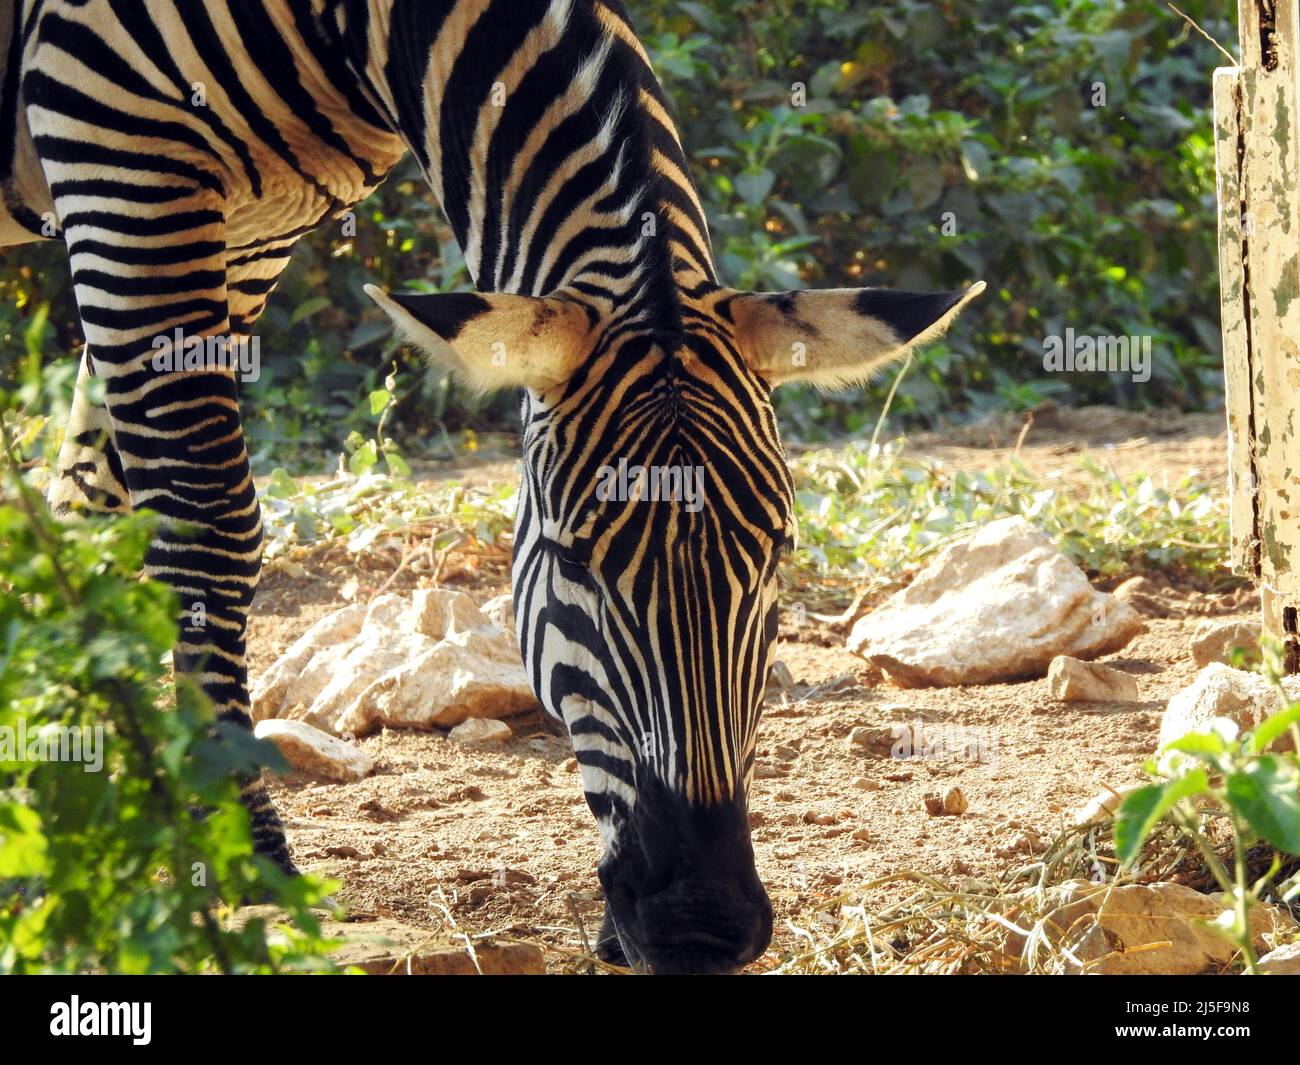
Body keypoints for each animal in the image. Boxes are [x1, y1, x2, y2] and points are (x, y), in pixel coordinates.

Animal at [0, 0, 977, 972]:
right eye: (573, 560)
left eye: (776, 553)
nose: (703, 929)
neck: (348, 34)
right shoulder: (119, 140)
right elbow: (207, 517)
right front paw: (234, 850)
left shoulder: (246, 229)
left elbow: (91, 507)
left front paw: (59, 780)